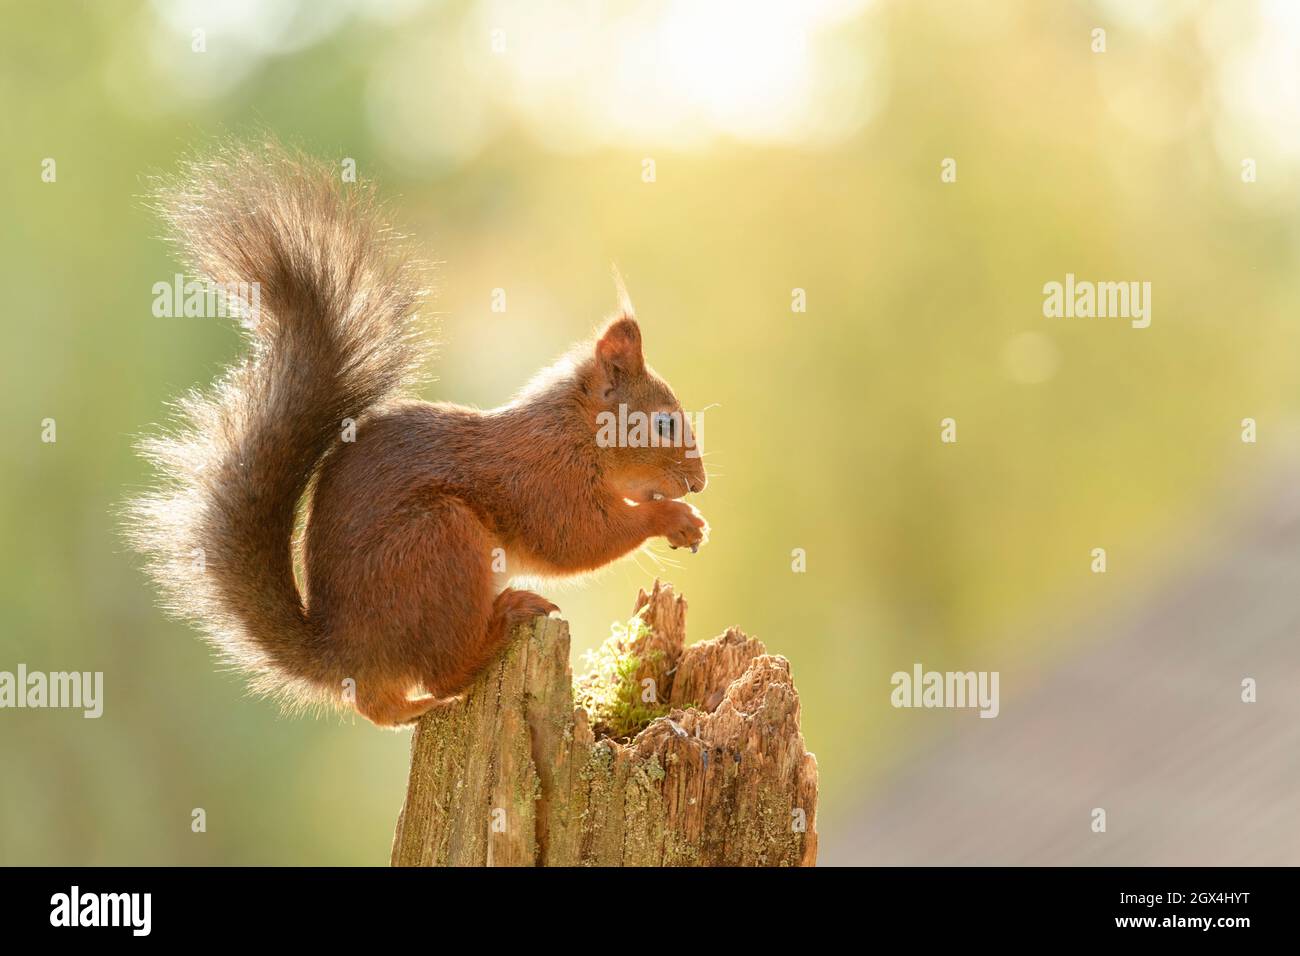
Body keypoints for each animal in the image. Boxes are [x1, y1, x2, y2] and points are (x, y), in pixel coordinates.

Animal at [126, 143, 708, 728]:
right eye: (663, 424)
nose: (699, 483)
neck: (574, 431)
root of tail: (346, 654)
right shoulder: (543, 480)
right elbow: (579, 539)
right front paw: (672, 517)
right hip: (440, 542)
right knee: (443, 672)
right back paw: (504, 620)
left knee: (382, 708)